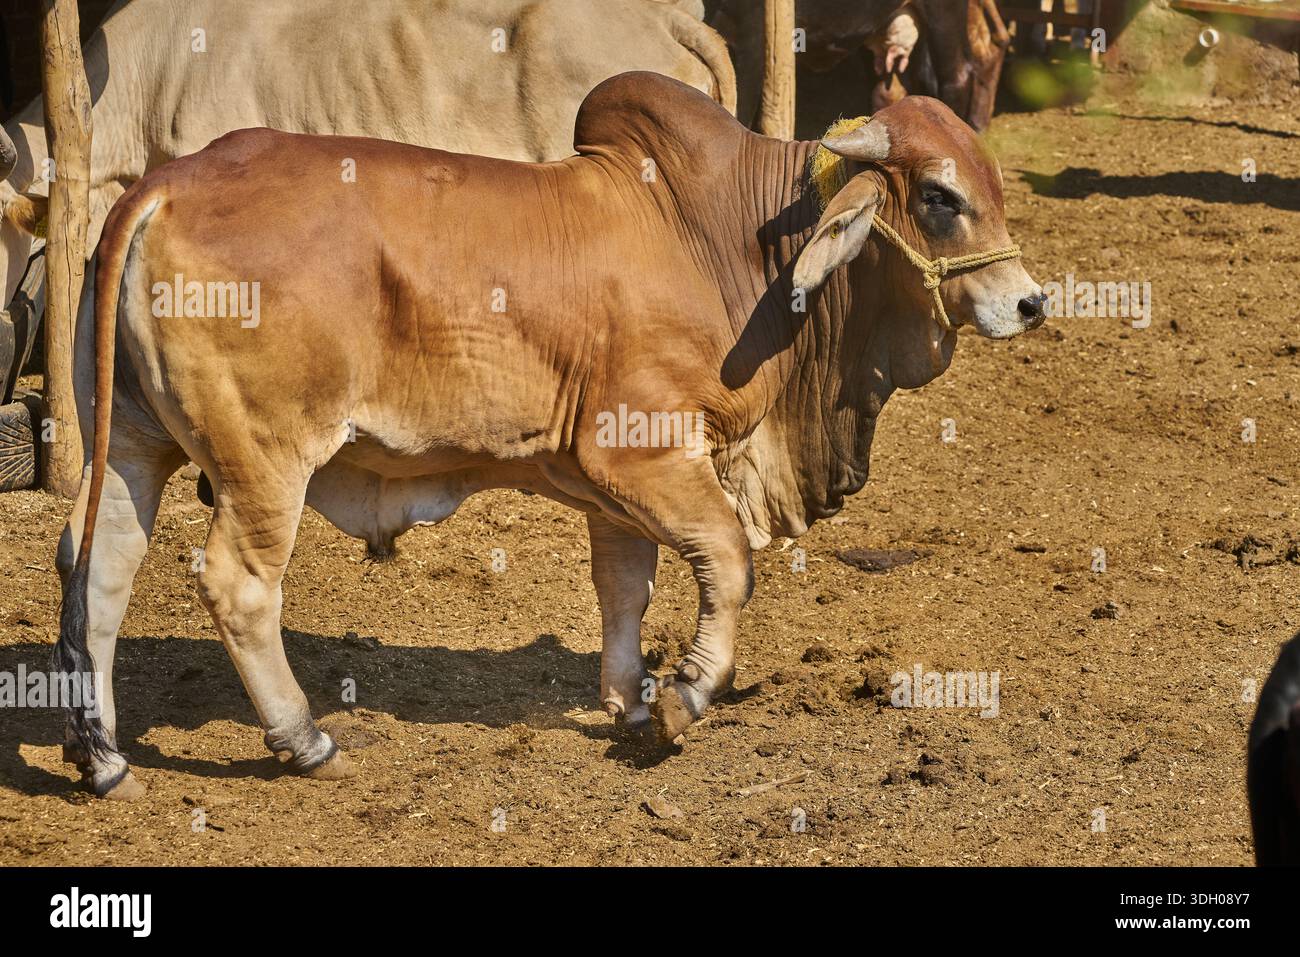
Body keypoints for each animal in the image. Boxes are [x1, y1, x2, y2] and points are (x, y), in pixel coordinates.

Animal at [54, 71, 1045, 799]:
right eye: (941, 196)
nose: (1031, 301)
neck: (727, 240)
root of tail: (163, 185)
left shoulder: (616, 486)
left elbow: (626, 589)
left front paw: (630, 701)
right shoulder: (645, 450)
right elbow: (727, 560)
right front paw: (685, 694)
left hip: (134, 443)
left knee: (95, 564)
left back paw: (101, 755)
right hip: (266, 461)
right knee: (238, 586)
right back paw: (303, 738)